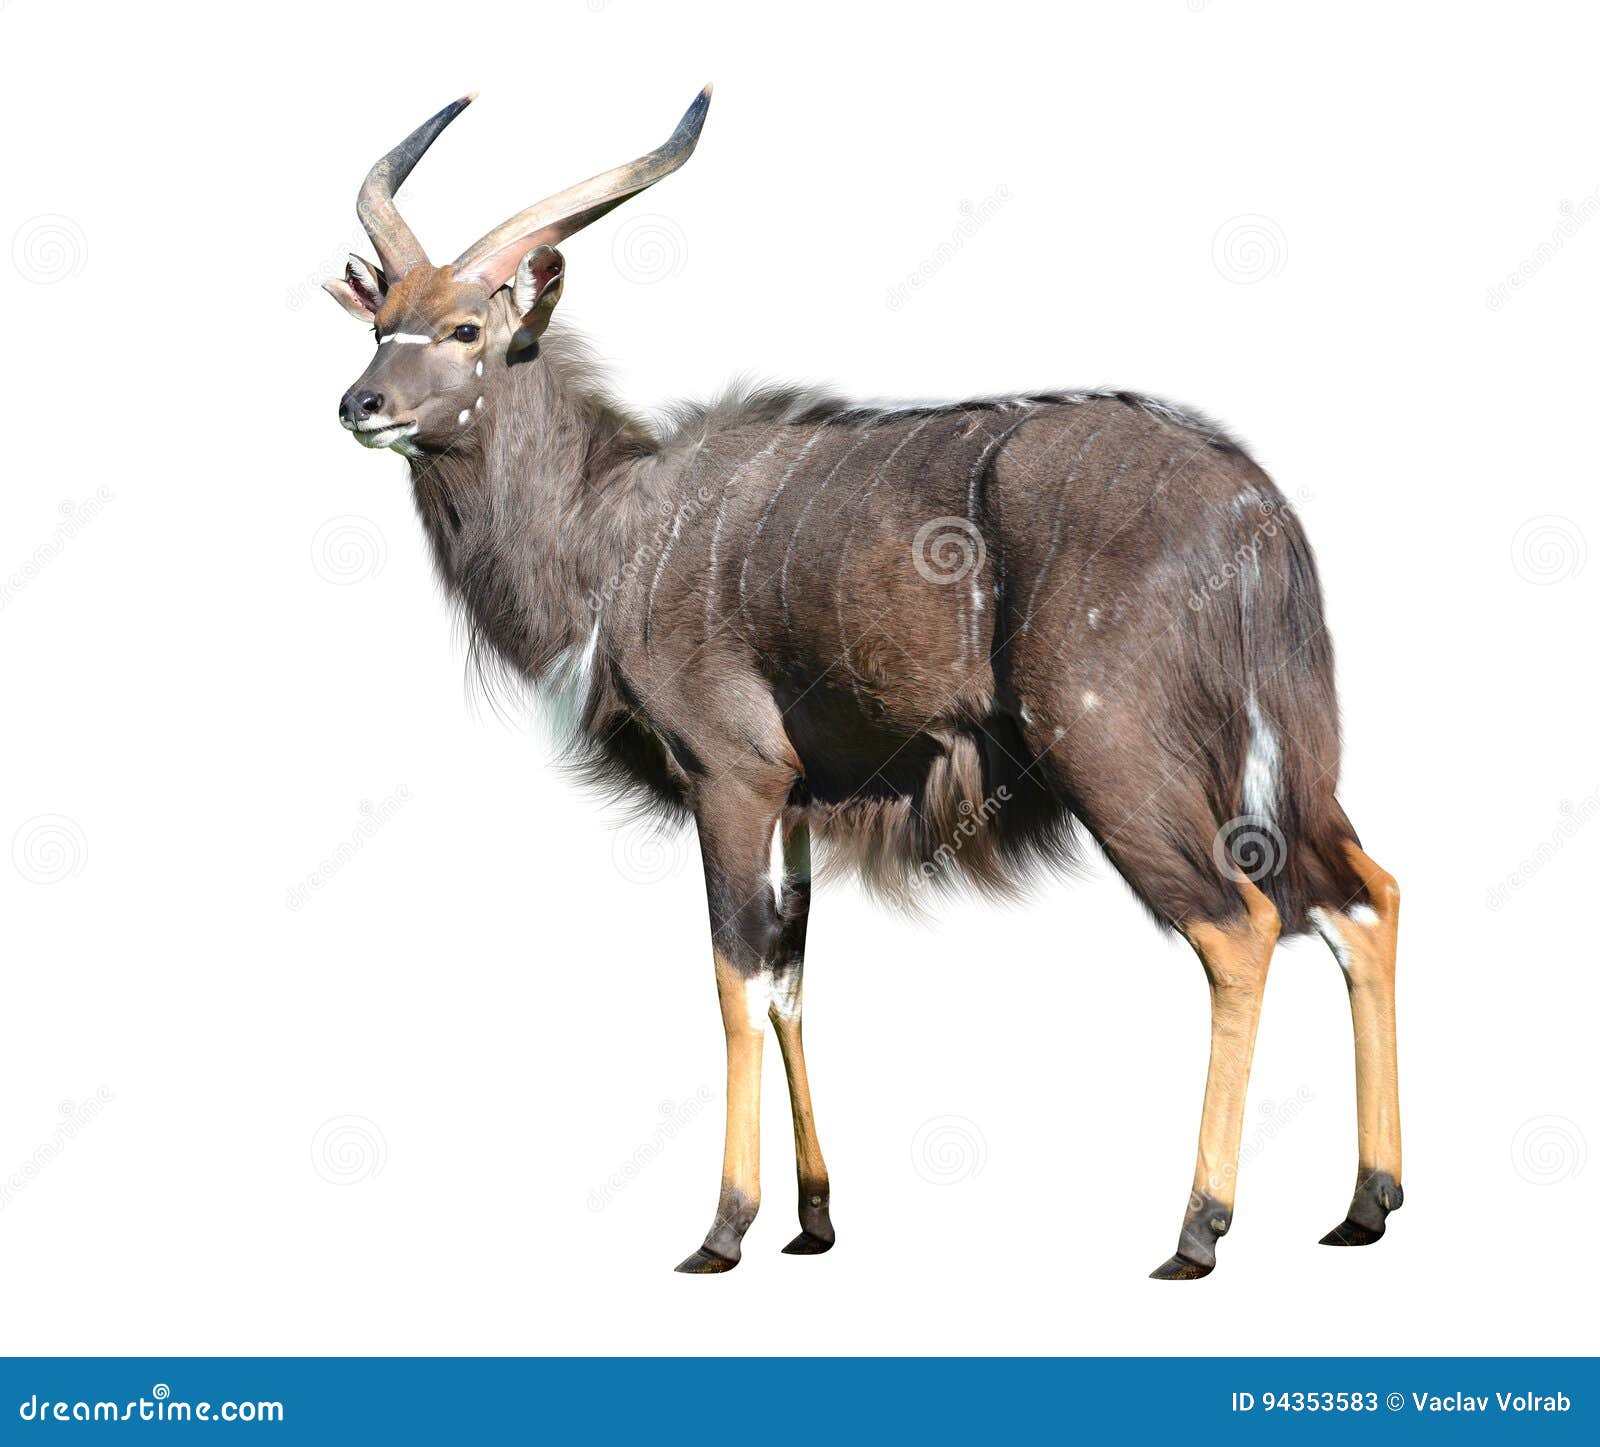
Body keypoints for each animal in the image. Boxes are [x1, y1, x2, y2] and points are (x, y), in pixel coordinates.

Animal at [322, 87, 1402, 1278]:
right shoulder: (801, 799)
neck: (609, 529)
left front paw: (724, 1228)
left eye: (467, 329)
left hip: (1113, 756)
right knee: (1362, 896)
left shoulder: (732, 776)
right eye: (379, 324)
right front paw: (814, 1219)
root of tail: (1252, 504)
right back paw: (1365, 1206)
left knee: (1241, 924)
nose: (359, 403)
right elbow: (792, 980)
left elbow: (736, 977)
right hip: (1279, 764)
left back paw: (1198, 1229)